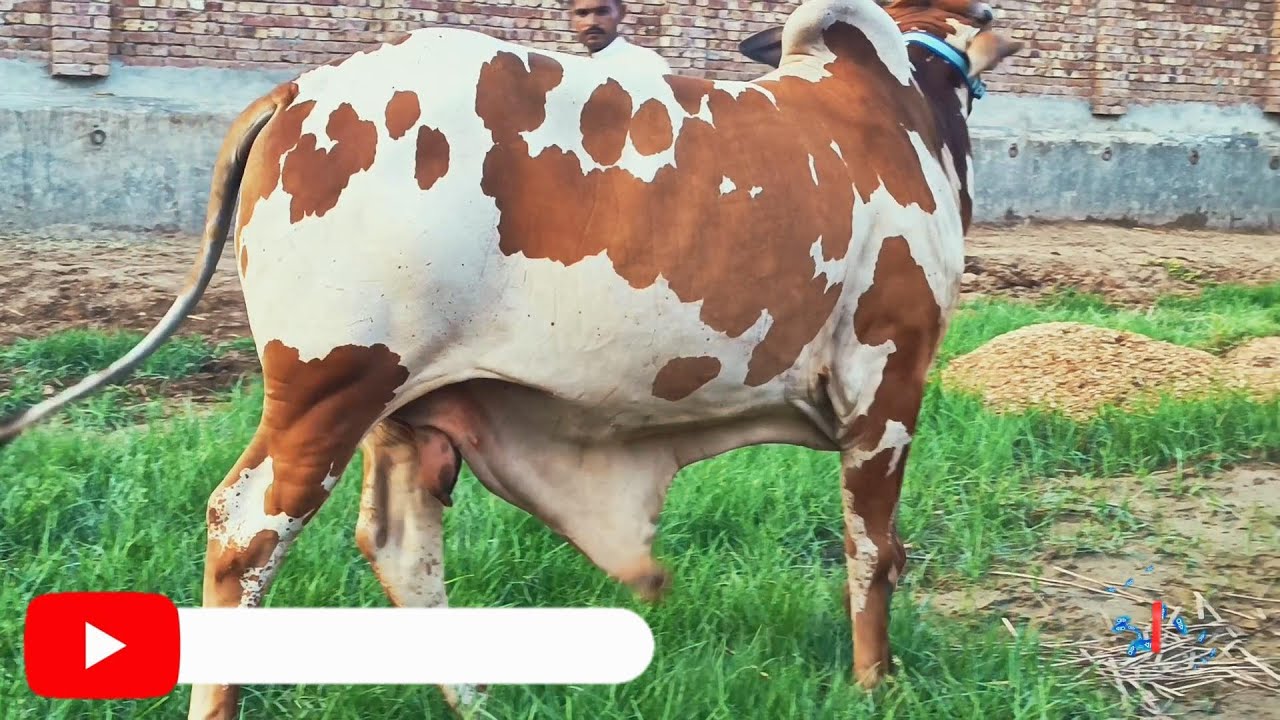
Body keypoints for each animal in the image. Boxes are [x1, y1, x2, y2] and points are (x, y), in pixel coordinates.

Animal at [0, 0, 1023, 716]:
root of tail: (302, 89)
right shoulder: (888, 376)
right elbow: (873, 550)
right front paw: (874, 685)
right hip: (333, 382)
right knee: (247, 530)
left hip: (407, 405)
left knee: (400, 546)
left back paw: (479, 697)